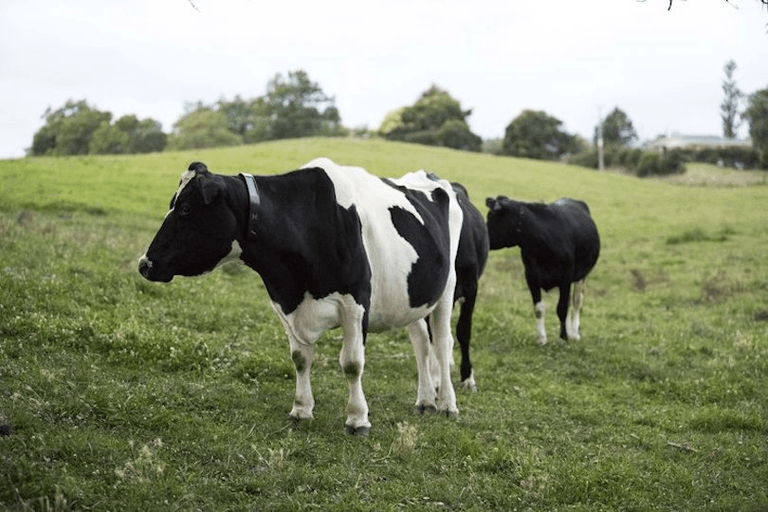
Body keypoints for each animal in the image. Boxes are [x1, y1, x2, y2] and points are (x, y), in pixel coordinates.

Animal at [138, 158, 463, 435]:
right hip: (412, 298)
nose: (145, 263)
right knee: (421, 343)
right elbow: (300, 359)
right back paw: (425, 401)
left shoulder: (355, 302)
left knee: (442, 343)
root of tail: (433, 178)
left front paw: (357, 419)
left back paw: (447, 404)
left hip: (447, 288)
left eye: (186, 208)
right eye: (174, 204)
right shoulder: (285, 302)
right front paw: (301, 410)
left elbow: (352, 363)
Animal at [485, 196, 600, 345]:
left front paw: (564, 337)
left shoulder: (565, 280)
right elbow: (539, 309)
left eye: (492, 217)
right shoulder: (531, 278)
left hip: (582, 275)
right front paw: (542, 339)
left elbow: (562, 308)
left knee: (576, 301)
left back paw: (574, 332)